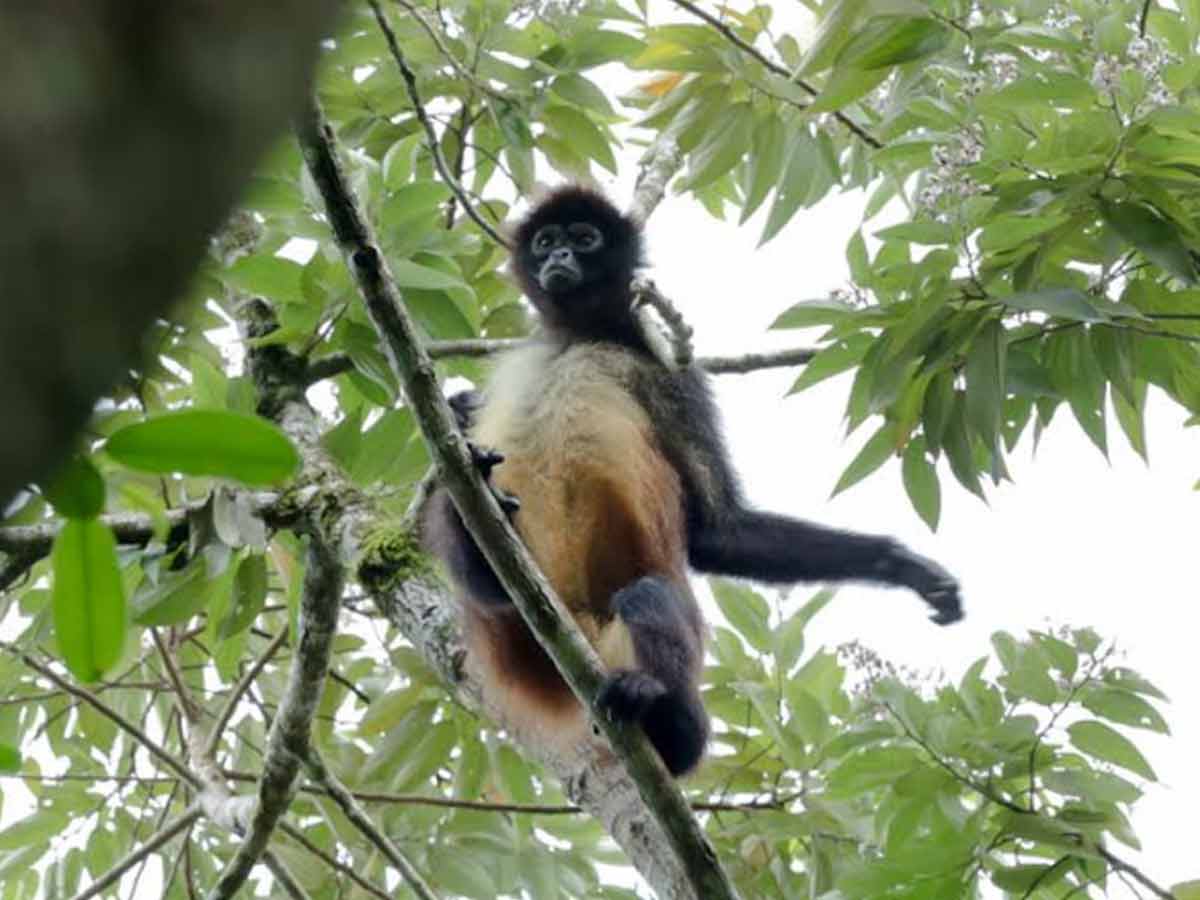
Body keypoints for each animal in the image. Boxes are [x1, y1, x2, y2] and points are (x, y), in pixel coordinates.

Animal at [422, 186, 962, 776]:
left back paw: (672, 727)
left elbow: (715, 531)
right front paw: (460, 412)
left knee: (649, 593)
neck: (580, 337)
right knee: (470, 536)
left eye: (584, 239)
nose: (559, 258)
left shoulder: (675, 374)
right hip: (512, 642)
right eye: (546, 242)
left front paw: (901, 565)